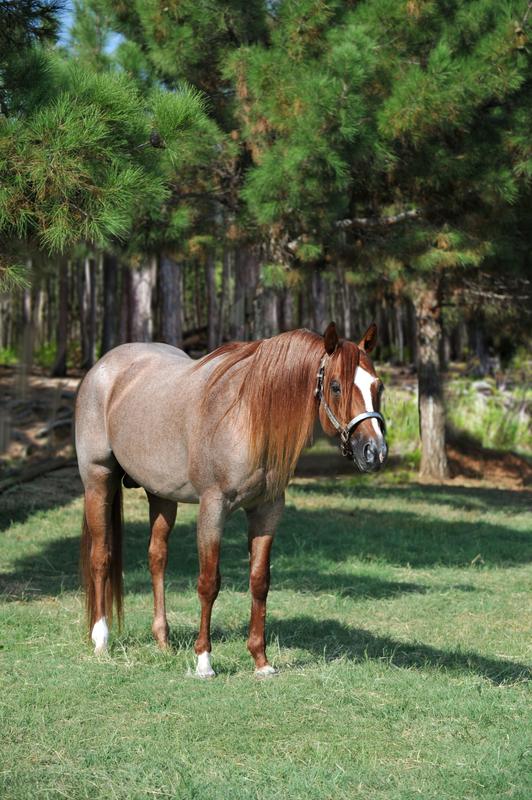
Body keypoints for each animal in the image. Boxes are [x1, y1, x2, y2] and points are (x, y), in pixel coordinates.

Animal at [75, 321, 387, 677]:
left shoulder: (267, 511)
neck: (247, 418)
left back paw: (163, 641)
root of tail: (103, 367)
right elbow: (209, 583)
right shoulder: (213, 508)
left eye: (378, 386)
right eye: (336, 387)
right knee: (101, 556)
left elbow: (260, 581)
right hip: (98, 481)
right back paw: (101, 639)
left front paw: (261, 661)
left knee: (157, 559)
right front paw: (203, 661)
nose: (375, 452)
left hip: (161, 495)